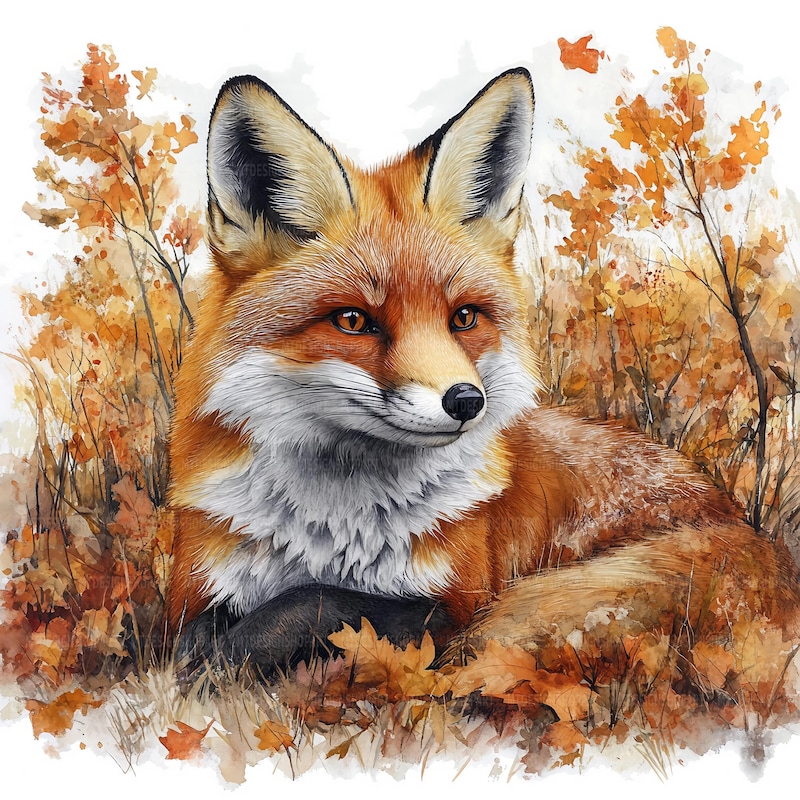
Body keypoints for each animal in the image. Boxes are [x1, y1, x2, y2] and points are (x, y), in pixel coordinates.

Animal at [166, 67, 800, 675]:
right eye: (353, 320)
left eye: (464, 317)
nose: (466, 401)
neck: (334, 529)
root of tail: (757, 539)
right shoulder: (203, 580)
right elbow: (195, 628)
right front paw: (203, 654)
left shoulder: (453, 604)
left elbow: (313, 602)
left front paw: (225, 658)